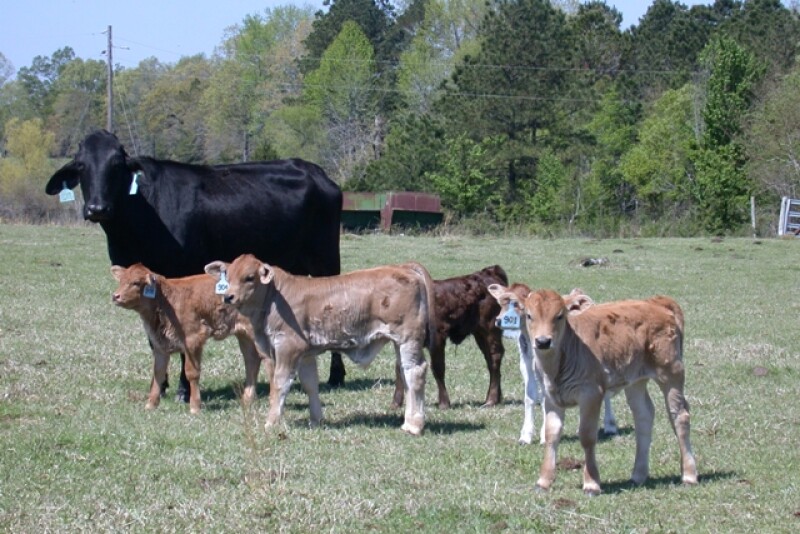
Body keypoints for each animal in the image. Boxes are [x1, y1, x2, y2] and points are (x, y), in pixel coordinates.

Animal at [45, 129, 344, 399]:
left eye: (117, 165)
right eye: (81, 165)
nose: (97, 208)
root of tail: (316, 171)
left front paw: (183, 389)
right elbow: (154, 340)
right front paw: (160, 385)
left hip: (326, 259)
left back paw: (336, 376)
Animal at [111, 264, 267, 414]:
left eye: (136, 282)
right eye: (121, 281)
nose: (115, 296)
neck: (166, 300)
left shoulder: (193, 339)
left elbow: (192, 373)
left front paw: (195, 406)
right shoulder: (160, 345)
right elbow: (158, 372)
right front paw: (151, 404)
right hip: (243, 335)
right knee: (252, 360)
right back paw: (248, 399)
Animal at [205, 254, 435, 436]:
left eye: (249, 277)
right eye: (228, 276)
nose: (228, 297)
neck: (272, 299)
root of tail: (403, 267)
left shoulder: (288, 347)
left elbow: (279, 385)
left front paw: (271, 422)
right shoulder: (306, 353)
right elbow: (310, 384)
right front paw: (315, 420)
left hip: (407, 338)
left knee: (415, 372)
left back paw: (414, 425)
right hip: (400, 343)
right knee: (404, 373)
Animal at [390, 265, 508, 411]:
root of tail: (488, 272)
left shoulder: (438, 338)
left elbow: (438, 368)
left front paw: (444, 402)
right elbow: (399, 369)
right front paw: (396, 402)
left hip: (490, 329)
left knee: (495, 357)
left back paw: (491, 399)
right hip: (479, 333)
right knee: (490, 360)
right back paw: (496, 397)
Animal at [493, 283, 618, 445]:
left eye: (515, 304)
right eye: (503, 303)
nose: (498, 320)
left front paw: (544, 436)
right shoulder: (525, 363)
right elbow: (530, 395)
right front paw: (526, 435)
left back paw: (610, 425)